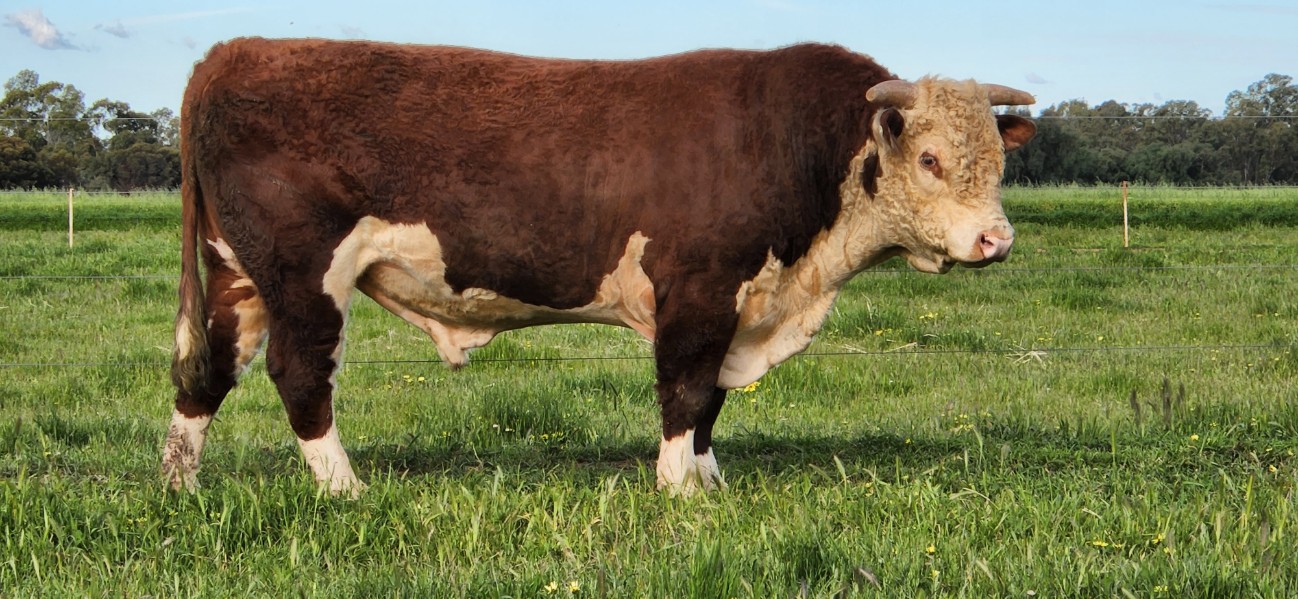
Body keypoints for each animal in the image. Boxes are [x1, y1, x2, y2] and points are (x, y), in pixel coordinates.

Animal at [162, 37, 1035, 496]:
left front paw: (710, 481)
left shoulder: (737, 303)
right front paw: (679, 489)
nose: (996, 241)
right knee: (300, 373)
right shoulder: (700, 293)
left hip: (239, 274)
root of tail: (232, 52)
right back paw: (344, 486)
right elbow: (687, 392)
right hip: (305, 275)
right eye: (929, 158)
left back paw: (181, 484)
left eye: (998, 162)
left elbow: (713, 402)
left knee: (207, 371)